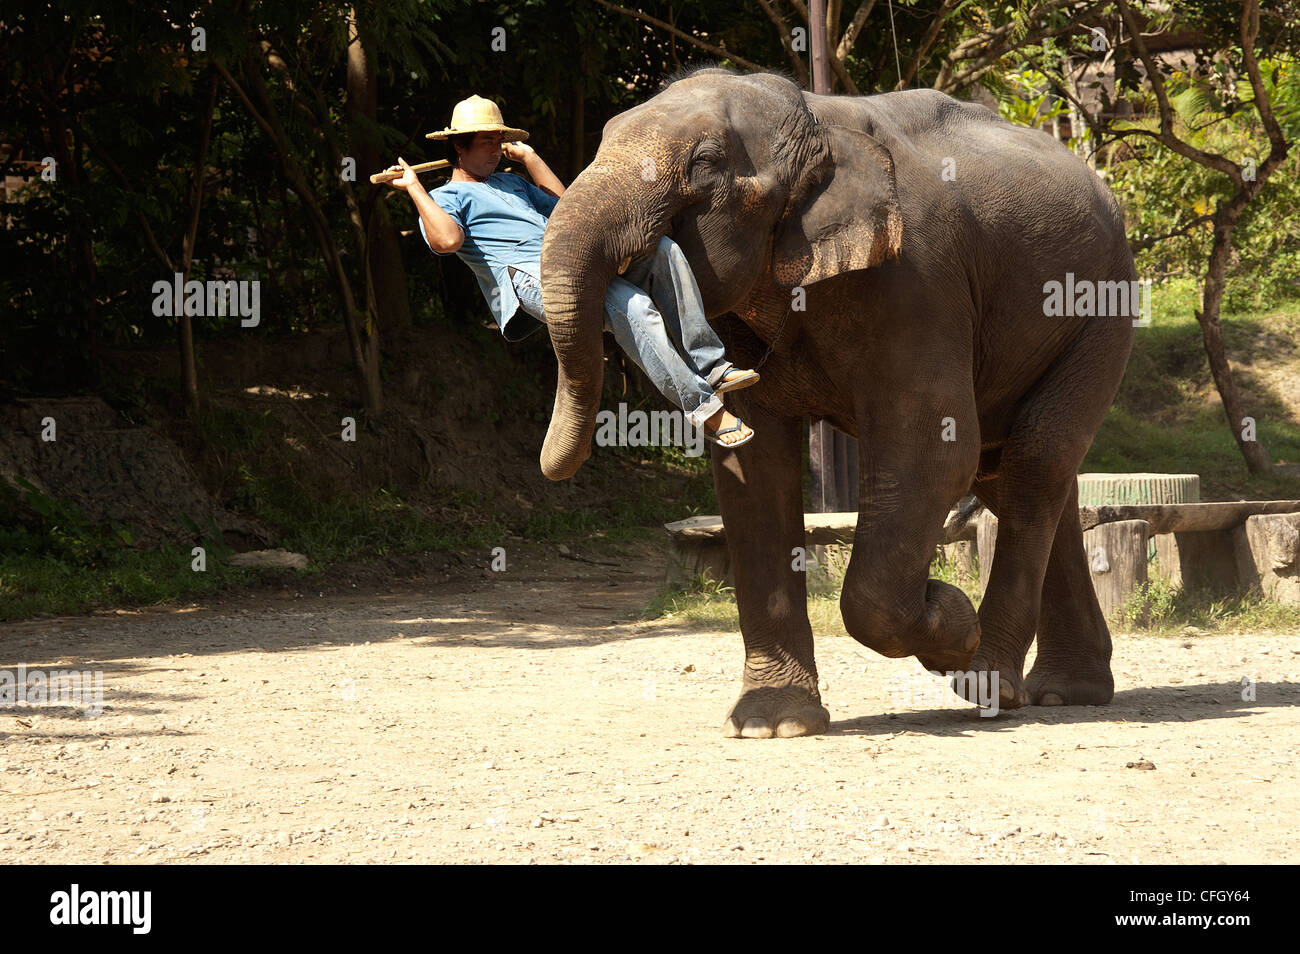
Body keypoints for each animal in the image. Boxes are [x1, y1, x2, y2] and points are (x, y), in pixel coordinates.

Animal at [537, 66, 1136, 737]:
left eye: (705, 164)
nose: (551, 466)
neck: (815, 120)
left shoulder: (917, 279)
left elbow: (933, 452)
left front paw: (952, 622)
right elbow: (752, 469)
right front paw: (769, 727)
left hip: (1100, 313)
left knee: (1035, 461)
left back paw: (990, 684)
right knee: (1017, 473)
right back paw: (1065, 692)